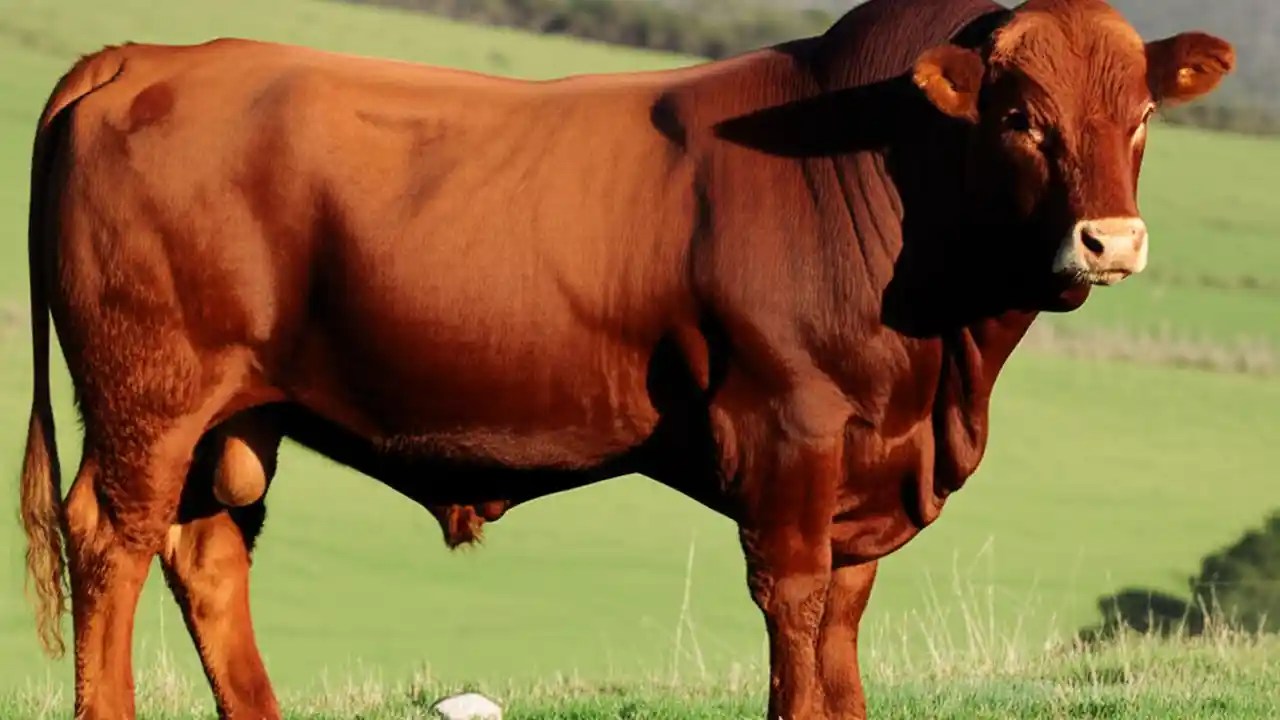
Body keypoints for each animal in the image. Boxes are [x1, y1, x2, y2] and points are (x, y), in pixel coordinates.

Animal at [19, 0, 1232, 717]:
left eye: (1139, 115)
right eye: (1021, 116)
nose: (1110, 241)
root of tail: (138, 56)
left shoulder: (868, 460)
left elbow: (842, 627)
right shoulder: (788, 430)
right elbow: (796, 613)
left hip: (233, 415)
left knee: (208, 553)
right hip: (148, 396)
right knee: (113, 540)